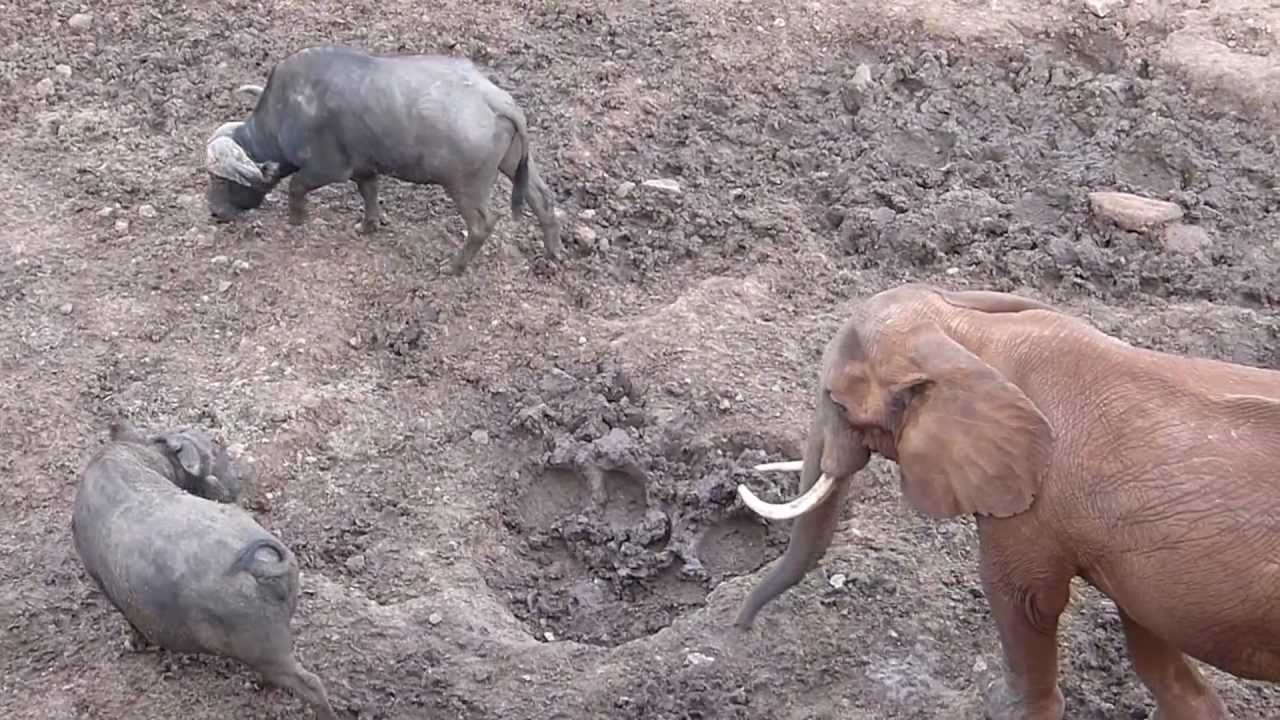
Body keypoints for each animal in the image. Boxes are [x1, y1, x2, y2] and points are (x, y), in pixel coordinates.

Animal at [733, 282, 1280, 720]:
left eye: (839, 403)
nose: (740, 628)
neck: (973, 337)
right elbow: (1146, 636)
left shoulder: (1033, 499)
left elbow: (1024, 600)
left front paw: (1004, 706)